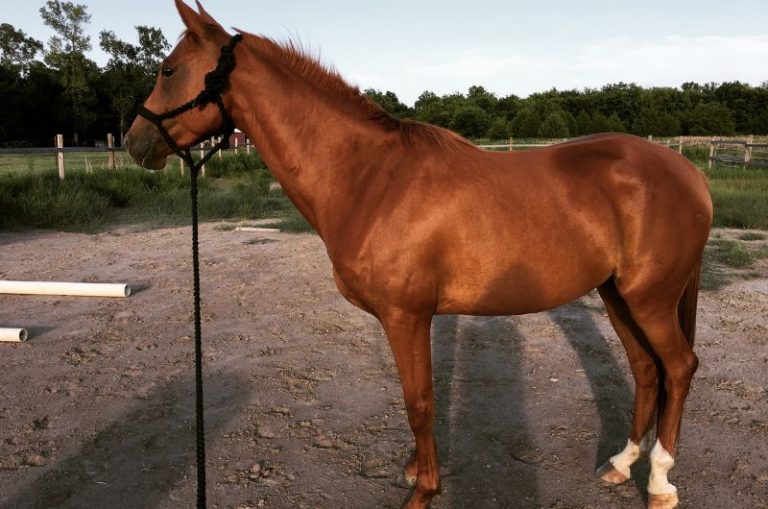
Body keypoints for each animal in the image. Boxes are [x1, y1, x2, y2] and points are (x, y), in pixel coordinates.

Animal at [125, 2, 713, 508]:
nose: (134, 142)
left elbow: (420, 402)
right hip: (618, 296)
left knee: (679, 367)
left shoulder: (406, 316)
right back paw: (621, 464)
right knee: (646, 370)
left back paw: (659, 483)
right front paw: (414, 472)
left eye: (169, 69)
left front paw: (424, 490)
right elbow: (415, 399)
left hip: (649, 299)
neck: (369, 178)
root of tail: (689, 173)